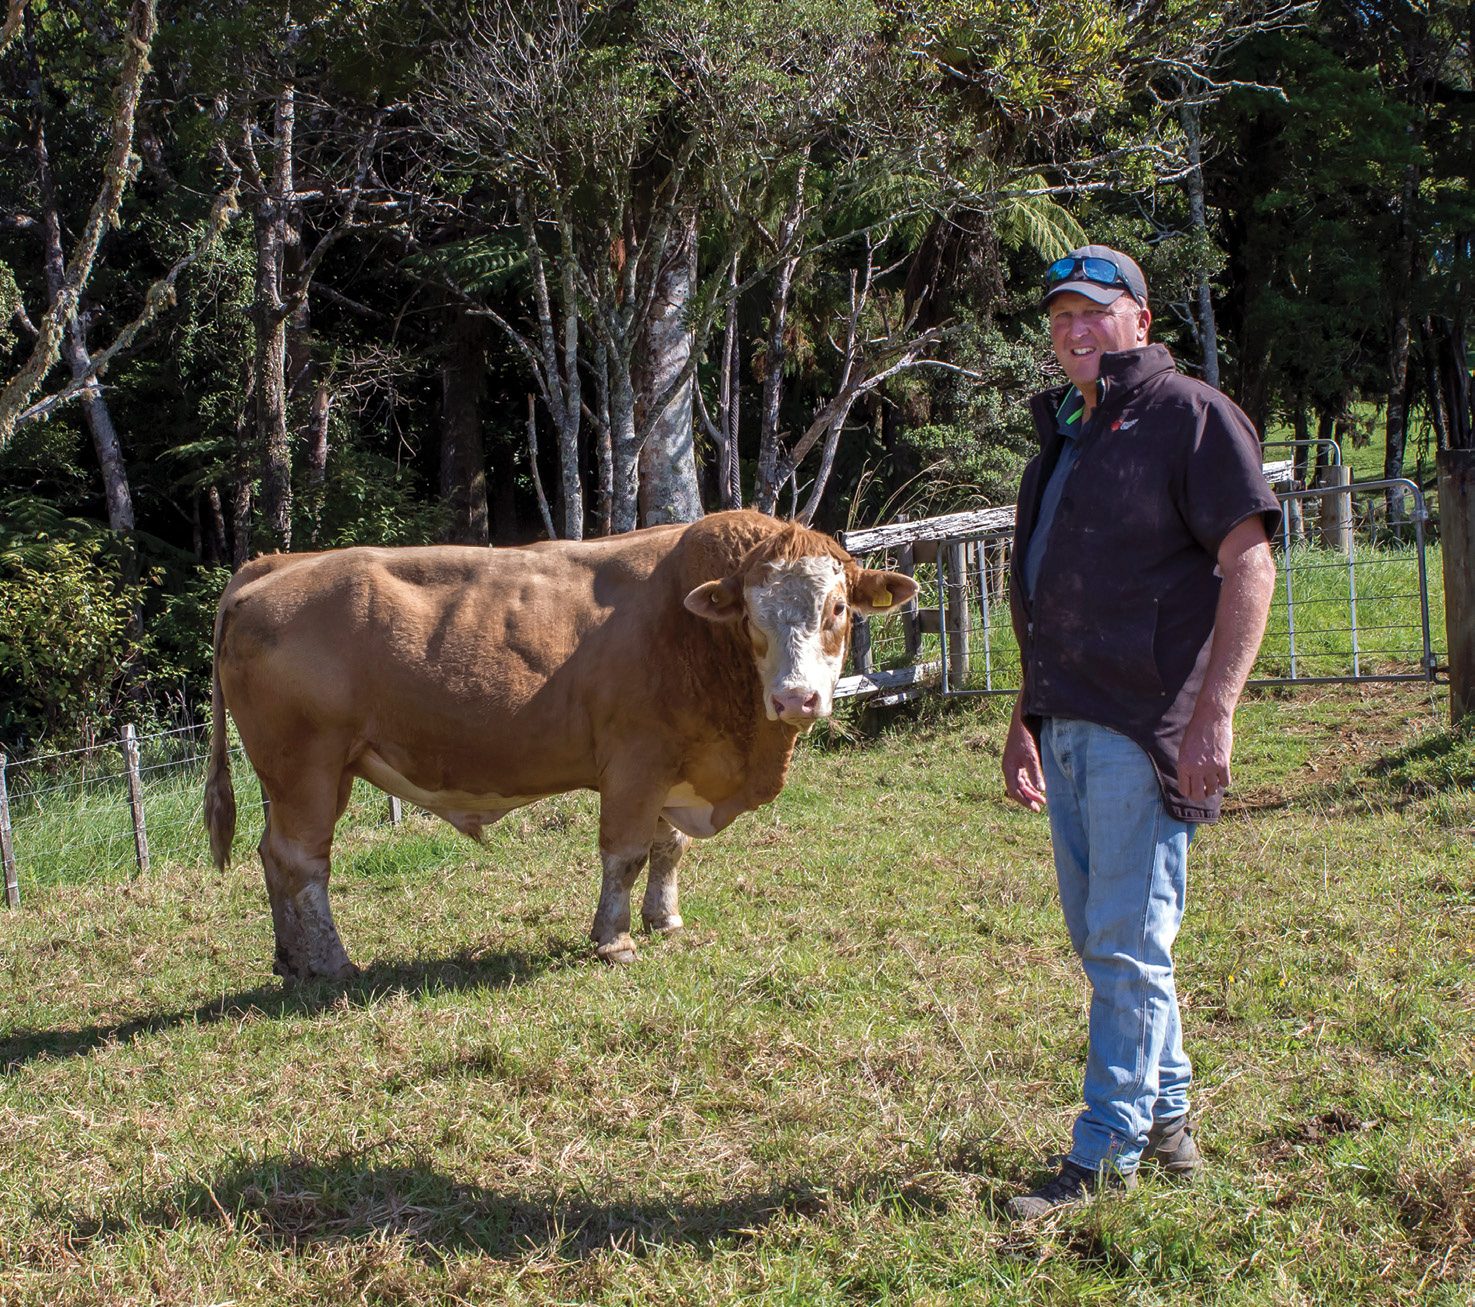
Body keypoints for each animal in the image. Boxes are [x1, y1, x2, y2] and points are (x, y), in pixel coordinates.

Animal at [204, 510, 918, 980]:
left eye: (837, 610)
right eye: (752, 616)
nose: (797, 699)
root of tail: (275, 565)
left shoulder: (676, 764)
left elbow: (669, 847)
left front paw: (664, 920)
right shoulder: (635, 760)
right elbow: (626, 854)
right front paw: (615, 941)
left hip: (304, 774)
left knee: (272, 854)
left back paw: (289, 959)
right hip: (308, 766)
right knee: (303, 862)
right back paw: (331, 963)